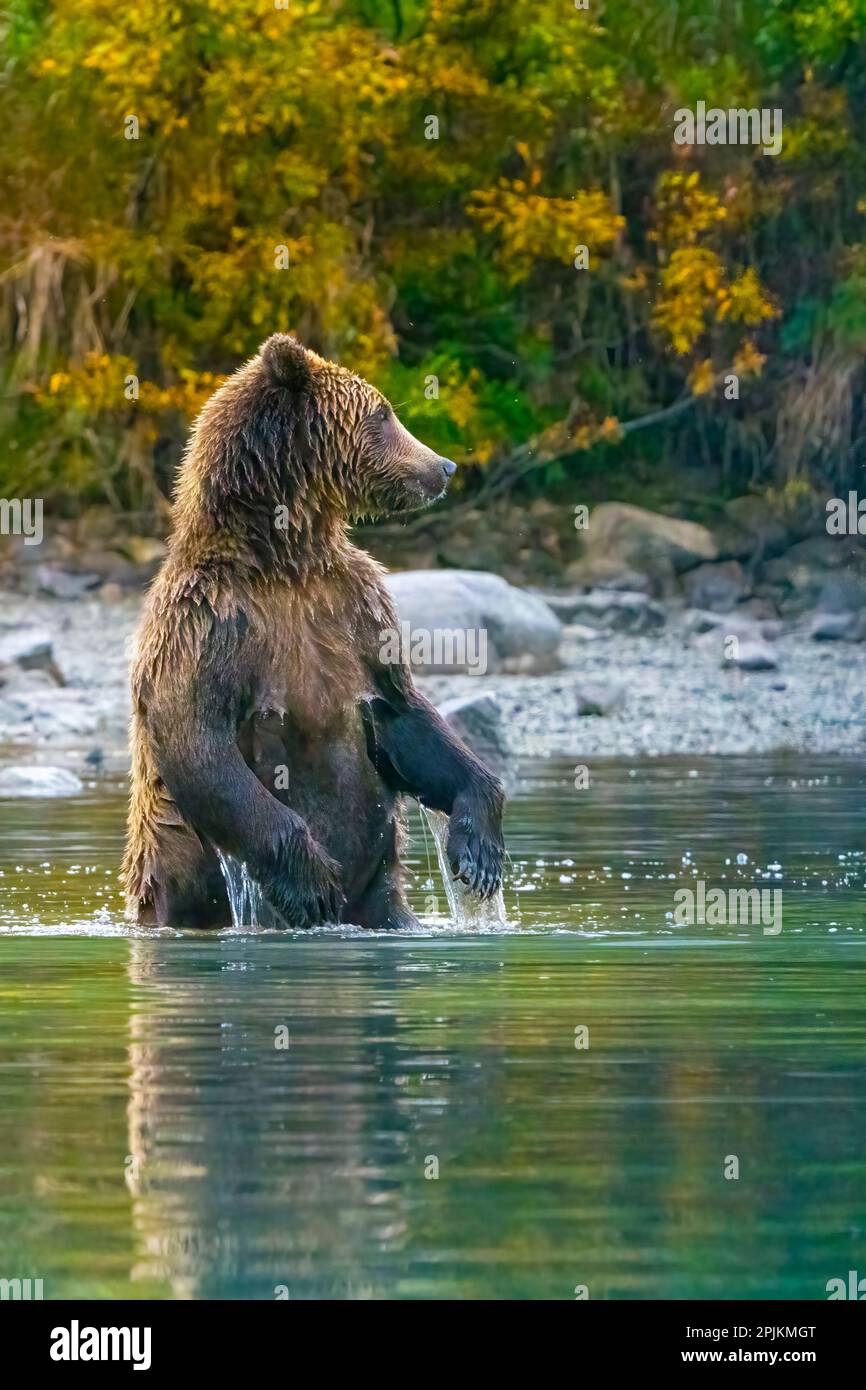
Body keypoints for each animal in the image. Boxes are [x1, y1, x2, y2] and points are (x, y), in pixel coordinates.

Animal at [122, 334, 505, 930]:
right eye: (384, 413)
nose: (443, 465)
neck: (284, 559)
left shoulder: (355, 605)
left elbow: (403, 711)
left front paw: (479, 848)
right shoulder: (206, 620)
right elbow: (199, 738)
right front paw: (312, 881)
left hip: (380, 889)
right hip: (180, 871)